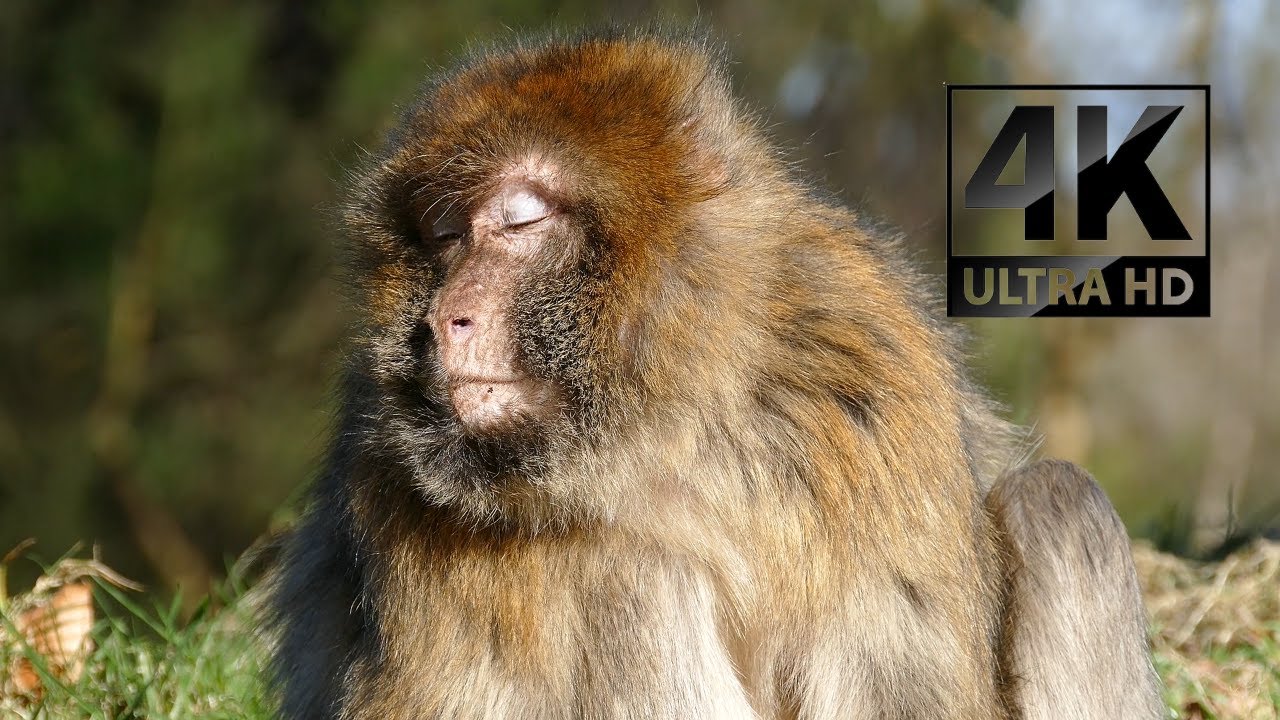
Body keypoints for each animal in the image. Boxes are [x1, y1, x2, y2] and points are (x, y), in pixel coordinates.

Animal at [267, 30, 1164, 720]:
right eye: (445, 235)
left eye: (519, 223)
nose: (446, 317)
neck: (664, 428)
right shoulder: (389, 478)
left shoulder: (871, 375)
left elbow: (899, 687)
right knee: (626, 572)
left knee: (1061, 502)